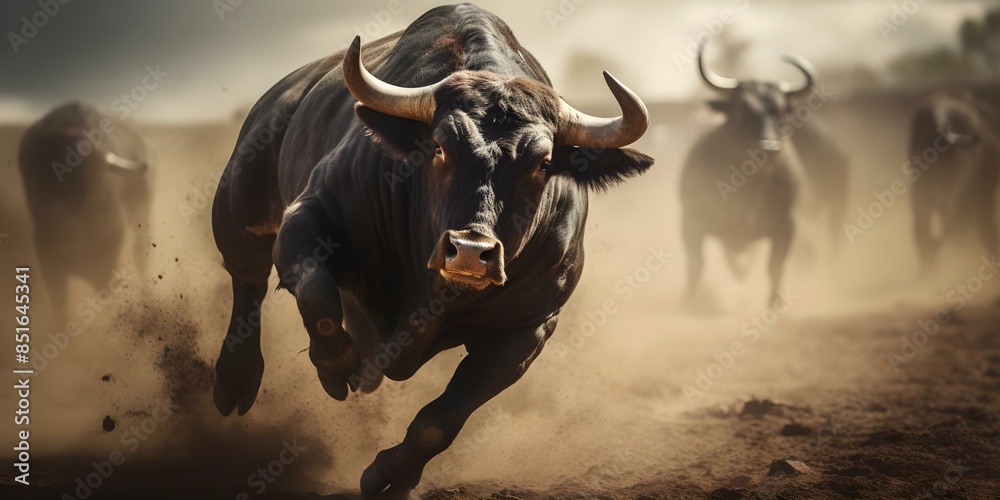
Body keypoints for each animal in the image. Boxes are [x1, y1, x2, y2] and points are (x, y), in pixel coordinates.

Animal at [18, 102, 150, 324]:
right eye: (44, 172)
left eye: (92, 172)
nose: (67, 205)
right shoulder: (49, 266)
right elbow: (60, 307)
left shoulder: (107, 263)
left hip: (142, 210)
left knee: (142, 256)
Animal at [210, 4, 653, 498]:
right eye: (440, 147)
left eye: (542, 163)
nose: (470, 251)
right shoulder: (308, 216)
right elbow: (315, 292)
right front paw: (335, 366)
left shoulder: (528, 329)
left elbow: (441, 421)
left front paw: (389, 476)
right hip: (237, 209)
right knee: (247, 280)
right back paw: (234, 381)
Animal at [680, 45, 826, 305]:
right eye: (740, 110)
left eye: (782, 113)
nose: (768, 150)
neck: (746, 190)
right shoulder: (691, 221)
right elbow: (696, 264)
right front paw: (689, 301)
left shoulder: (786, 226)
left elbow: (775, 267)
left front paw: (774, 304)